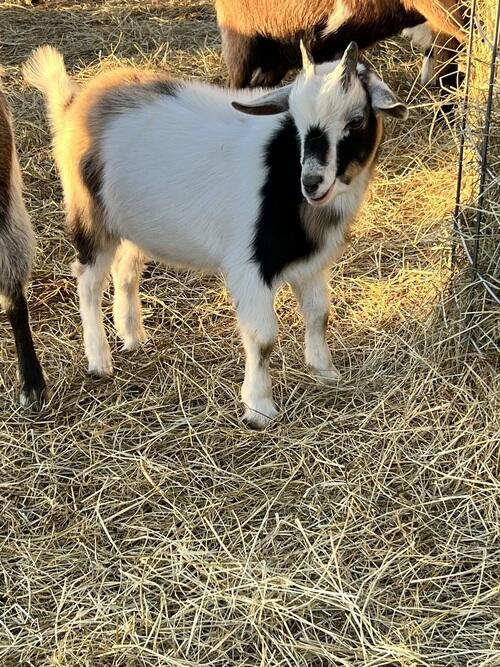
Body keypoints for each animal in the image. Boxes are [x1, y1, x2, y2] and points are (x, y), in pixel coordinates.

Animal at [24, 43, 407, 428]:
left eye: (355, 120)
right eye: (295, 122)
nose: (312, 182)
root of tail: (76, 103)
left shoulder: (311, 264)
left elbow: (318, 315)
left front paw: (325, 372)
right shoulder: (248, 268)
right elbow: (262, 337)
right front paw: (258, 408)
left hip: (132, 223)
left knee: (126, 271)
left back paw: (132, 337)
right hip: (91, 217)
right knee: (88, 281)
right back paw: (100, 361)